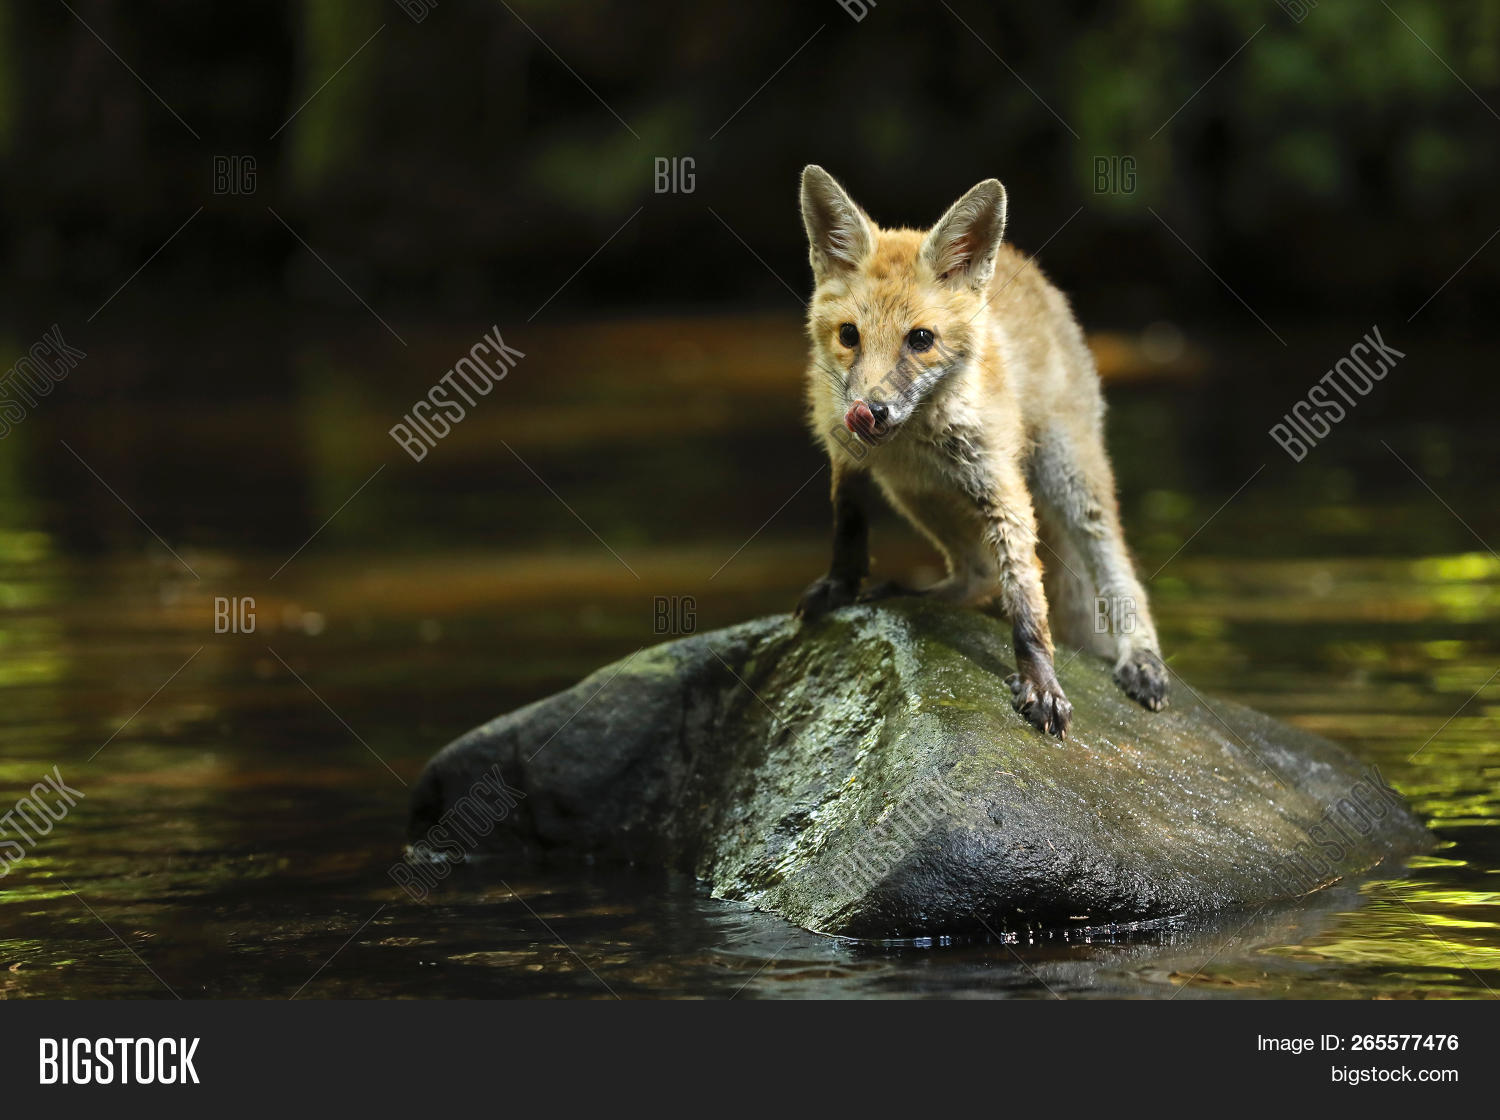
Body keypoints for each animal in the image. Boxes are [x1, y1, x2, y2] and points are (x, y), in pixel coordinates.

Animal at [793, 165, 1169, 738]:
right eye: (849, 335)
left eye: (920, 339)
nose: (868, 411)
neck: (914, 438)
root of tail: (1022, 262)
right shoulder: (850, 460)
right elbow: (849, 531)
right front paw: (840, 588)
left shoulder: (1002, 486)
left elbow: (1028, 604)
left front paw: (1041, 685)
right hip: (916, 494)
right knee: (977, 572)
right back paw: (911, 595)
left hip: (1066, 474)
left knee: (1115, 568)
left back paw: (1141, 656)